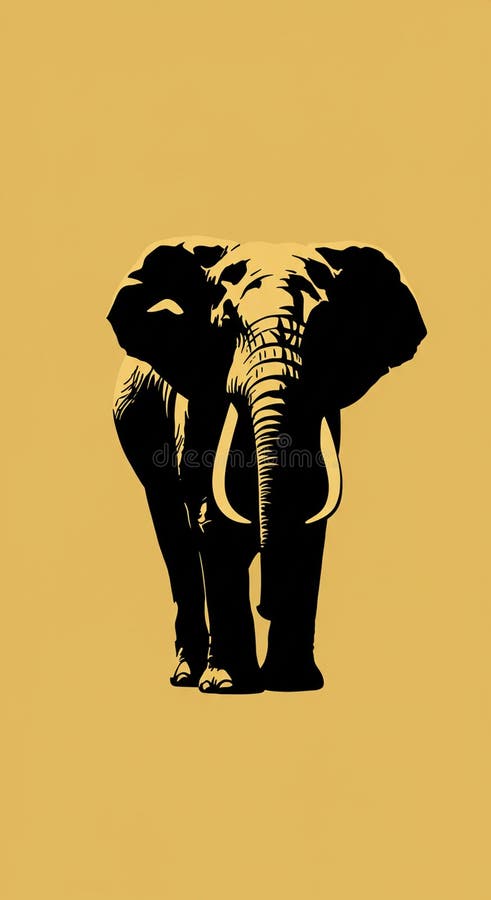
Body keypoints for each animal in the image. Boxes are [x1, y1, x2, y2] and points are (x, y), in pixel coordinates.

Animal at [108, 237, 426, 693]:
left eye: (323, 330)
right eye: (226, 325)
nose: (266, 605)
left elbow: (309, 516)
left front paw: (294, 683)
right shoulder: (200, 403)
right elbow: (215, 521)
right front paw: (227, 686)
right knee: (174, 532)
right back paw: (188, 675)